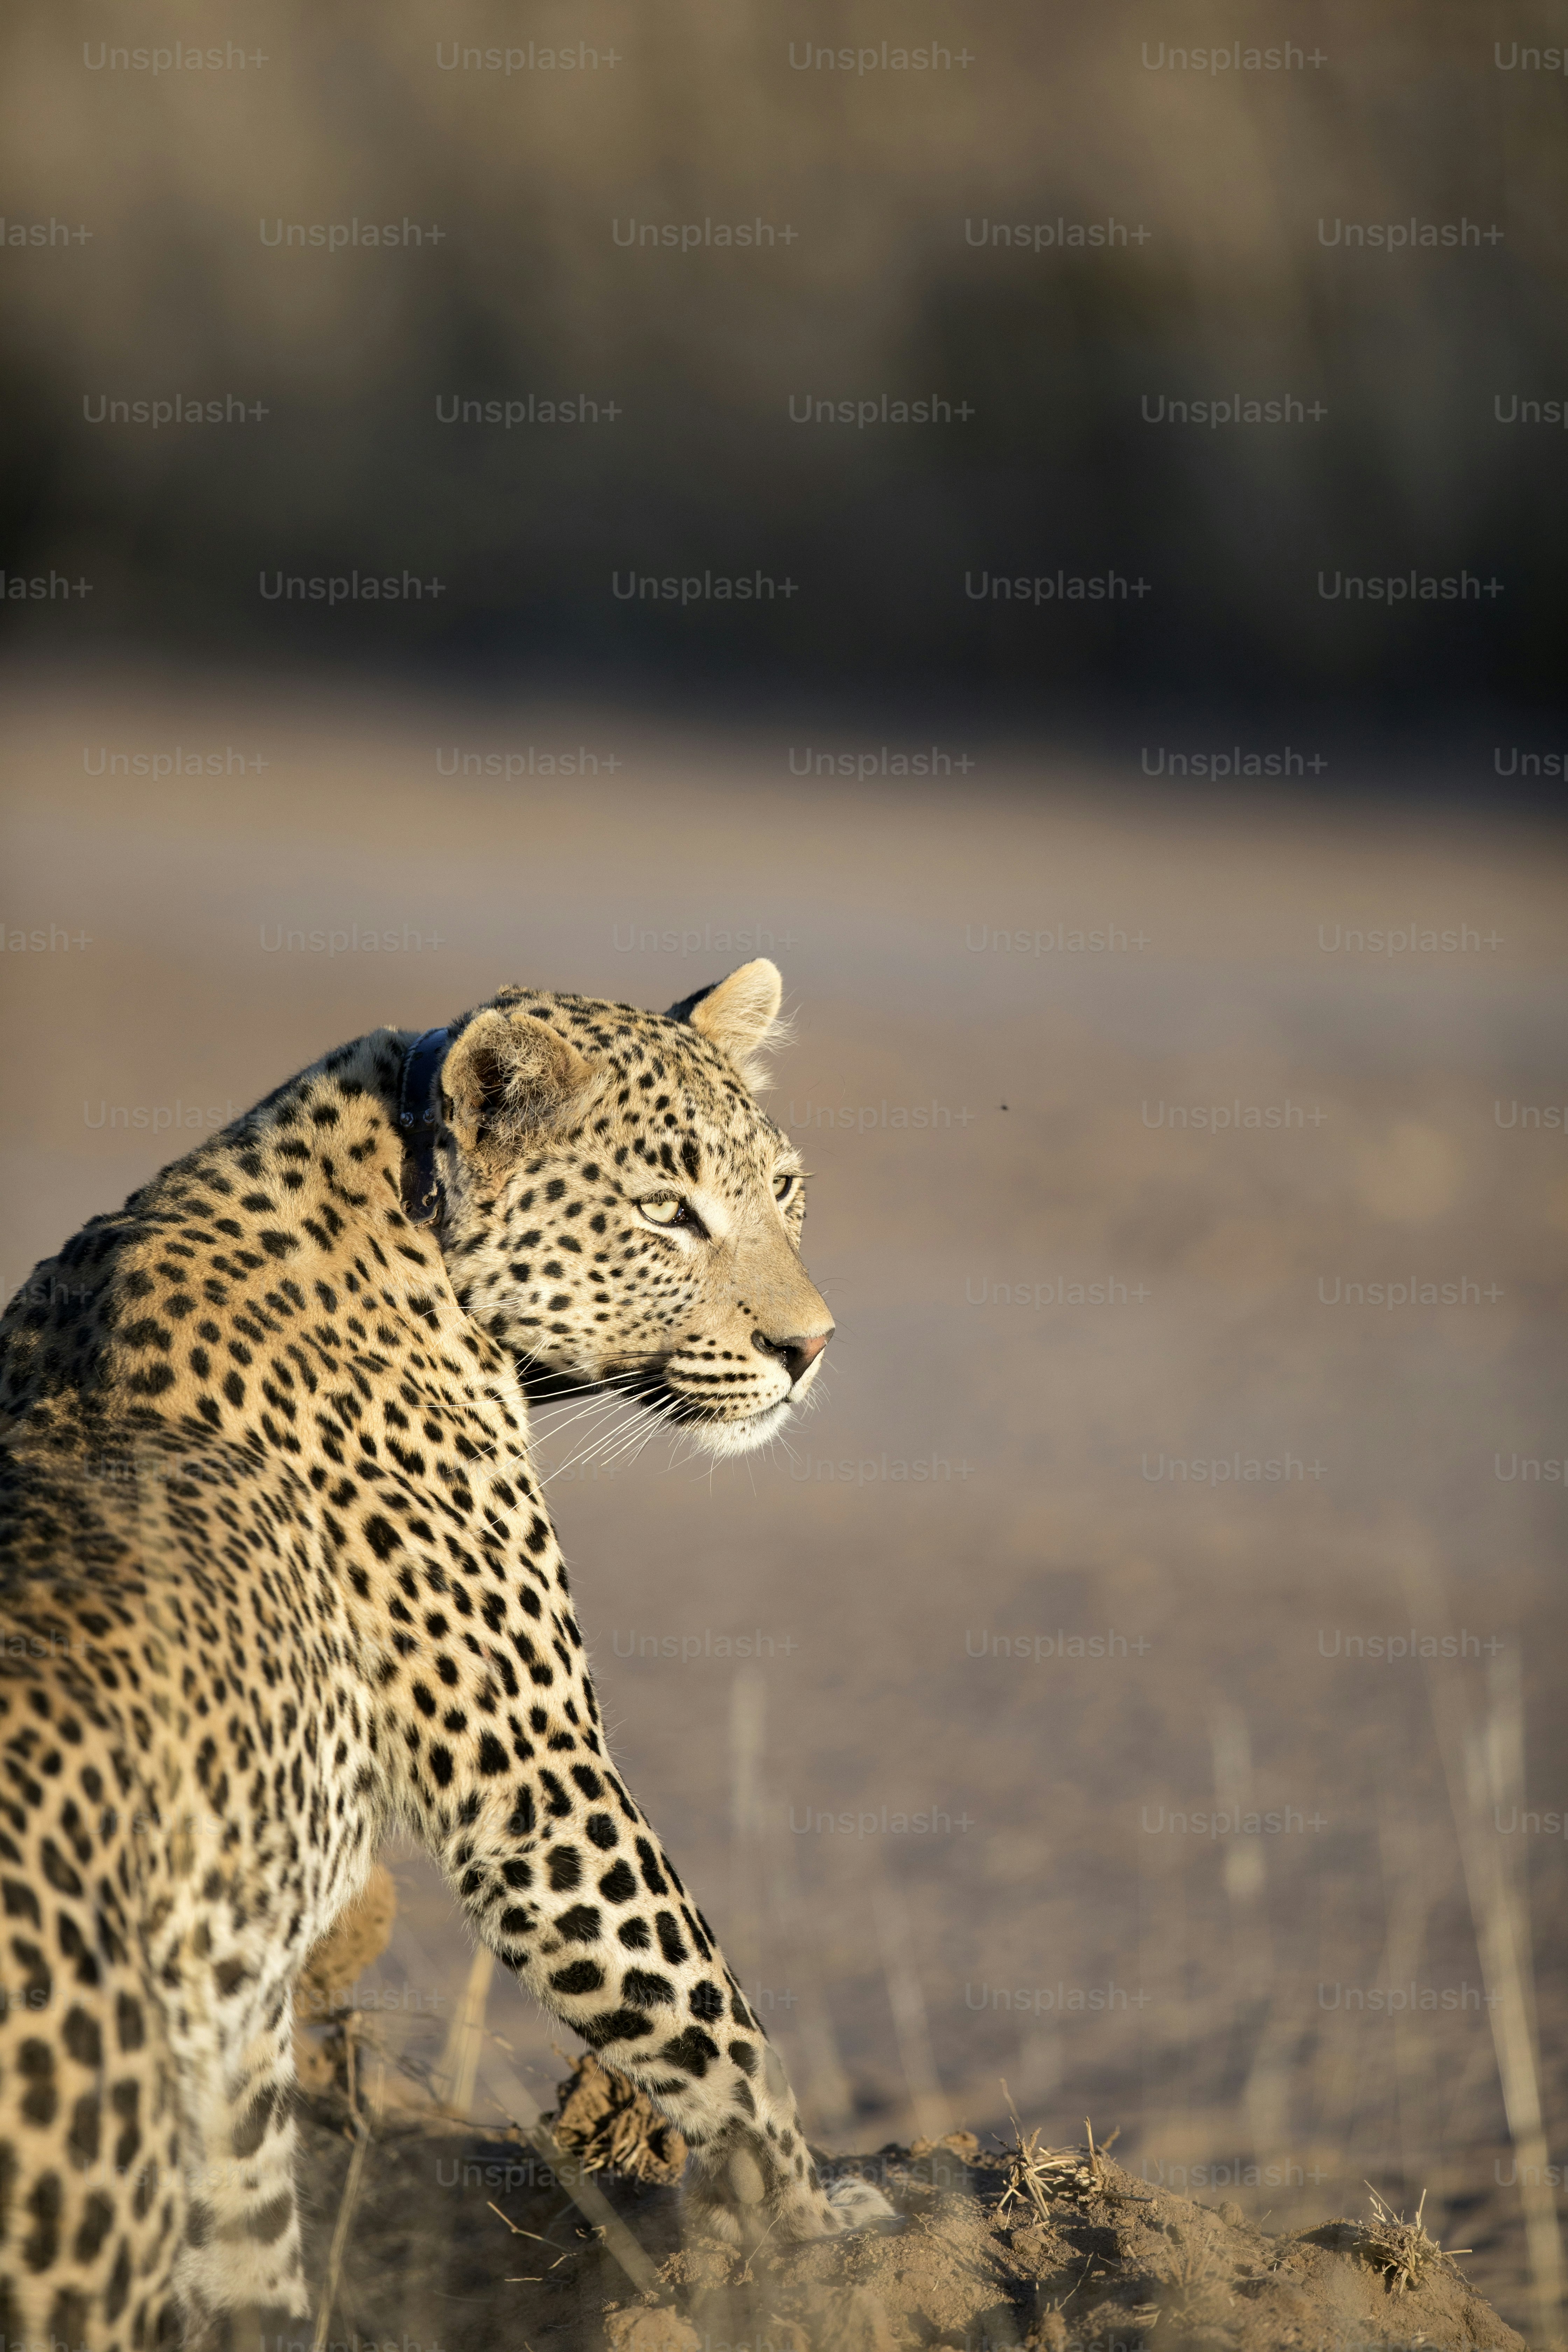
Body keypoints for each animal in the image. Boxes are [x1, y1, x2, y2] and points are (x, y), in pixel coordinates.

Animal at [0, 958, 894, 2350]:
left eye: (784, 1188)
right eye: (666, 1210)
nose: (810, 1348)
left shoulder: (241, 2025)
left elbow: (250, 2224)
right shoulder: (533, 1782)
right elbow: (711, 2015)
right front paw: (808, 2220)